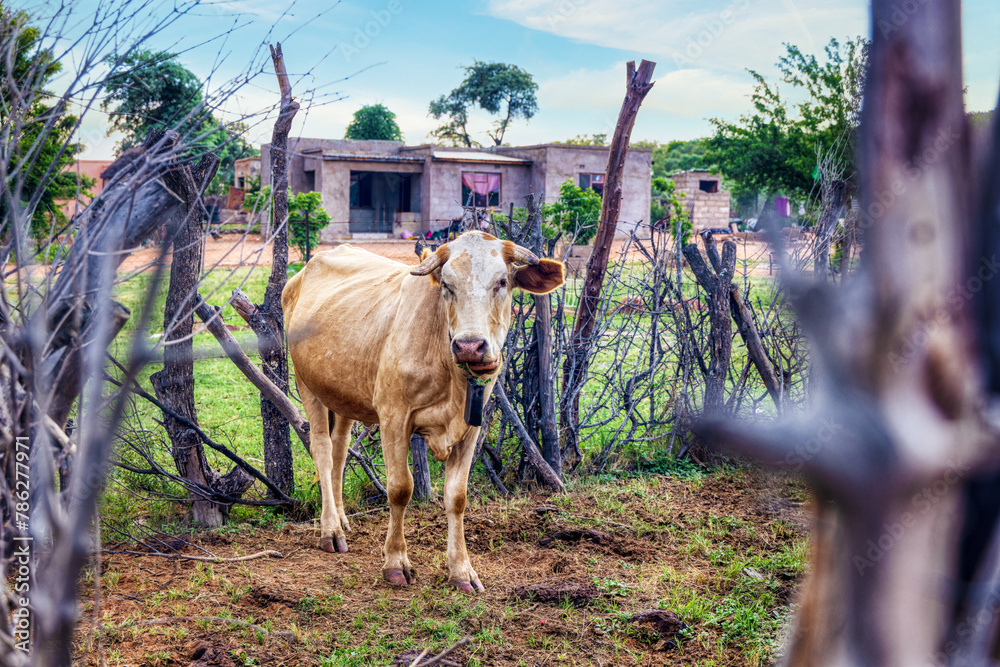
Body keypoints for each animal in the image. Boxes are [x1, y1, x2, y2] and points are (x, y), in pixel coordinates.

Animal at [282, 231, 564, 593]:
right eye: (446, 284)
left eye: (502, 281)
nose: (470, 345)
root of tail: (304, 271)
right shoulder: (394, 418)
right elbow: (400, 489)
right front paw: (395, 562)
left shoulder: (471, 430)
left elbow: (457, 497)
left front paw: (461, 571)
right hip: (307, 384)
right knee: (321, 448)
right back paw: (330, 530)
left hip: (344, 394)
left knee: (340, 451)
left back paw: (342, 520)